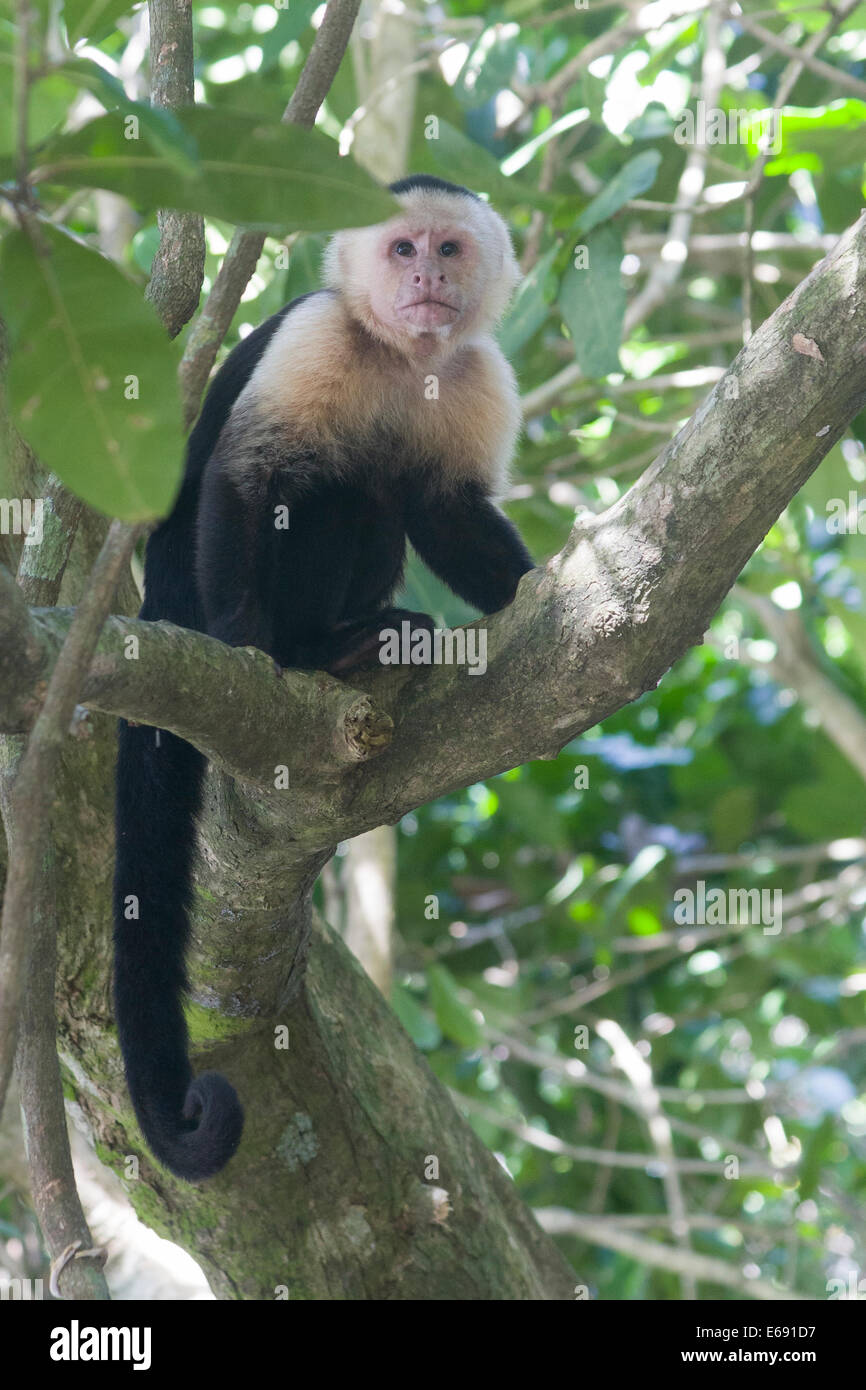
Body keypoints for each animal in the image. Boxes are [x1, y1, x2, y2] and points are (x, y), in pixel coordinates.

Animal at [113, 175, 535, 1181]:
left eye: (449, 251)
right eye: (400, 249)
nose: (425, 279)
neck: (398, 356)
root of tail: (159, 603)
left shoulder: (475, 374)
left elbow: (449, 510)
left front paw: (534, 583)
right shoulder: (317, 336)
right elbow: (246, 478)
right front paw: (253, 649)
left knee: (386, 491)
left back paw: (363, 640)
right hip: (190, 584)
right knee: (332, 480)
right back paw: (309, 651)